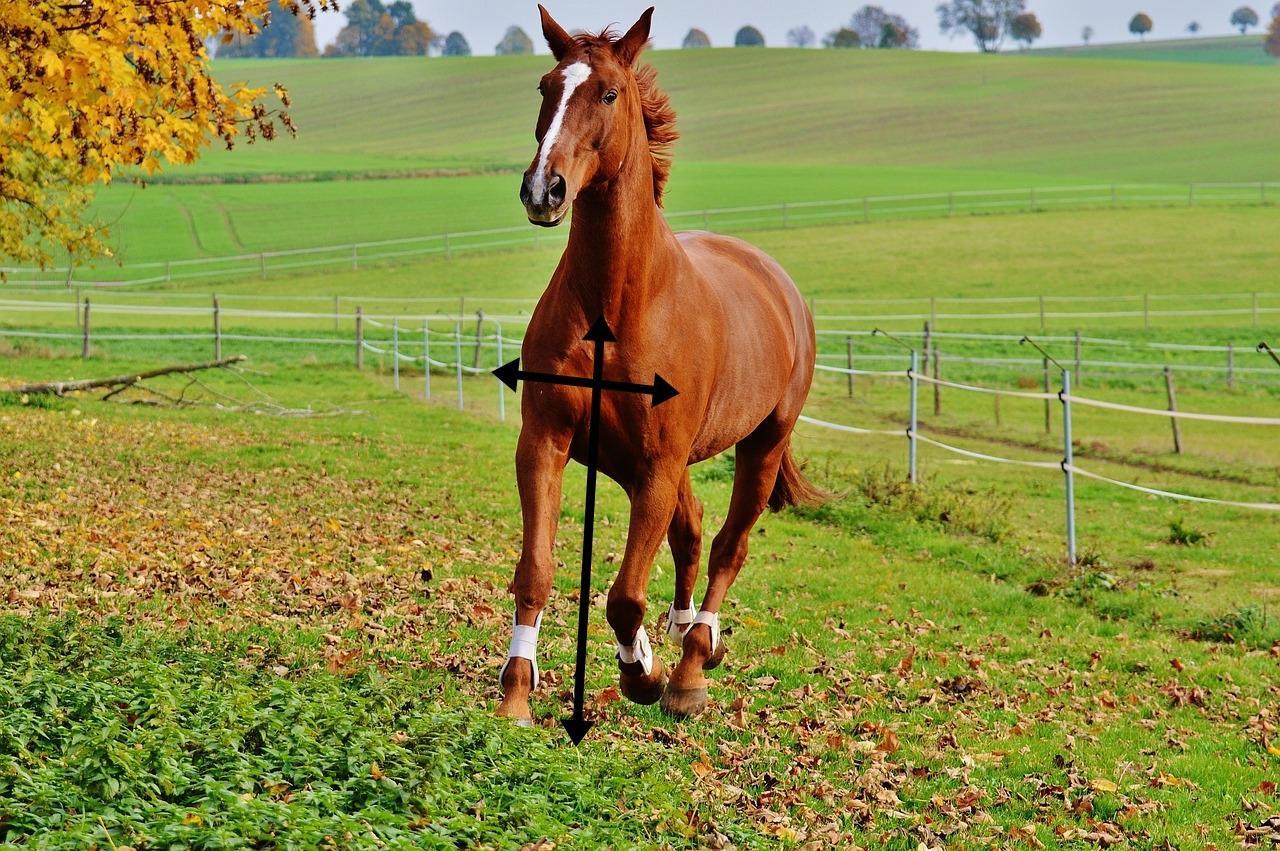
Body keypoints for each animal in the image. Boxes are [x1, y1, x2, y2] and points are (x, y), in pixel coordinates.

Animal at [496, 5, 821, 724]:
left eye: (609, 93)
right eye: (545, 86)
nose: (543, 189)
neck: (616, 306)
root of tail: (780, 285)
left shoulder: (657, 464)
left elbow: (623, 595)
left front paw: (640, 672)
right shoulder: (548, 442)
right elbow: (537, 570)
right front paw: (514, 696)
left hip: (759, 446)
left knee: (728, 545)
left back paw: (691, 665)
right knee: (693, 532)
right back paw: (679, 633)